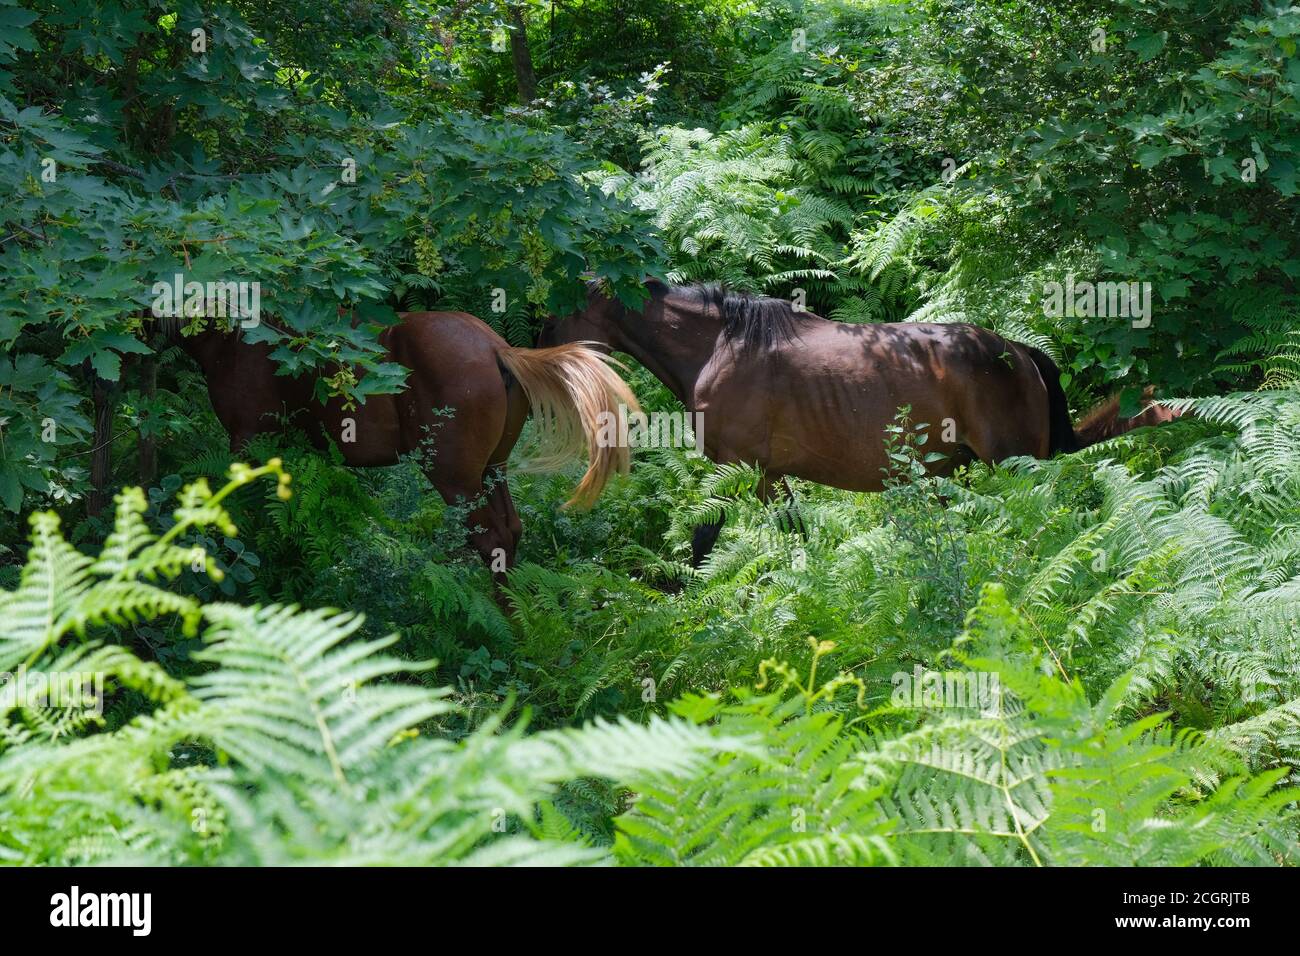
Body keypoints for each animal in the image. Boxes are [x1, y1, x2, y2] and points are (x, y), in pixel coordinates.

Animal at [174, 311, 639, 577]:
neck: (233, 341)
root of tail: (497, 349)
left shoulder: (246, 441)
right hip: (493, 470)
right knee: (511, 530)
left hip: (454, 478)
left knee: (491, 539)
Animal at [539, 280, 1180, 563]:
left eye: (561, 309)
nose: (537, 357)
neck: (720, 346)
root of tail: (1019, 352)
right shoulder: (768, 476)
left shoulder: (742, 471)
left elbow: (708, 537)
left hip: (1015, 466)